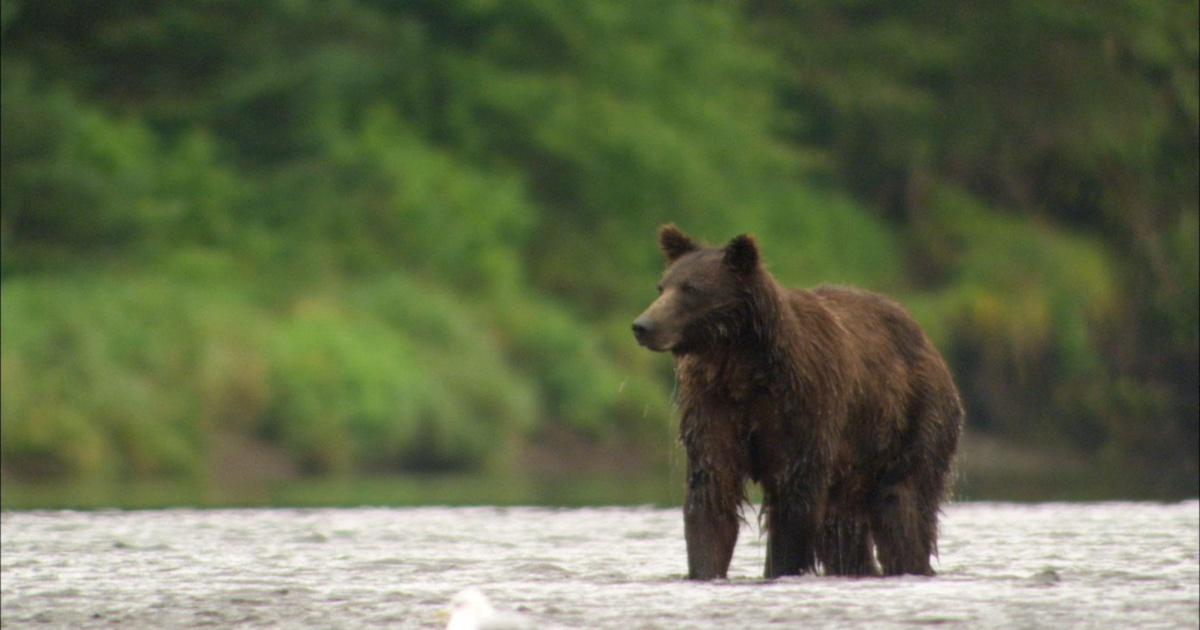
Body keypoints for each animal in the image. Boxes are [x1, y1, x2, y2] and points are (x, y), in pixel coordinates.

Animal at [632, 225, 963, 580]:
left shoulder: (803, 405)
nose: (642, 325)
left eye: (691, 288)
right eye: (662, 286)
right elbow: (712, 492)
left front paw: (780, 566)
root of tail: (928, 341)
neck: (741, 365)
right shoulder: (714, 405)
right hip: (854, 464)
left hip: (913, 418)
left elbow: (795, 503)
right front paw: (705, 568)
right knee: (844, 532)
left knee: (902, 508)